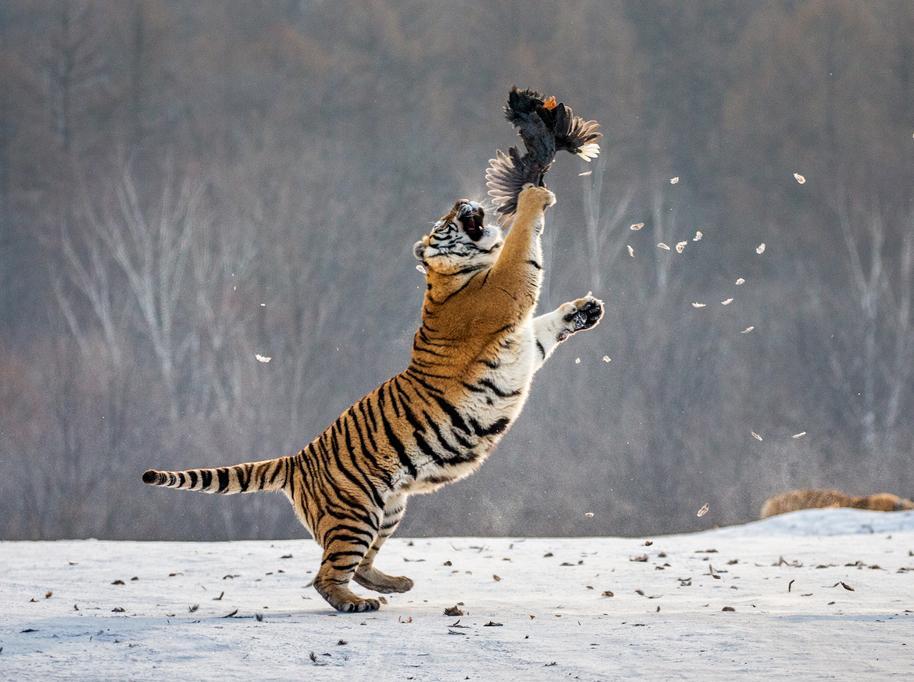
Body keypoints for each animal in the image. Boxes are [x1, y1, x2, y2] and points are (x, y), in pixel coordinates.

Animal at [143, 184, 604, 612]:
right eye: (444, 221)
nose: (460, 202)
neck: (461, 273)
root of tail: (296, 461)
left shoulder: (525, 343)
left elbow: (547, 326)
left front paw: (585, 310)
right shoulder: (506, 290)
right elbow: (523, 243)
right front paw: (534, 197)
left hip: (389, 512)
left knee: (361, 565)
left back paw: (397, 583)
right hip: (356, 516)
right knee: (327, 575)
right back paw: (357, 603)